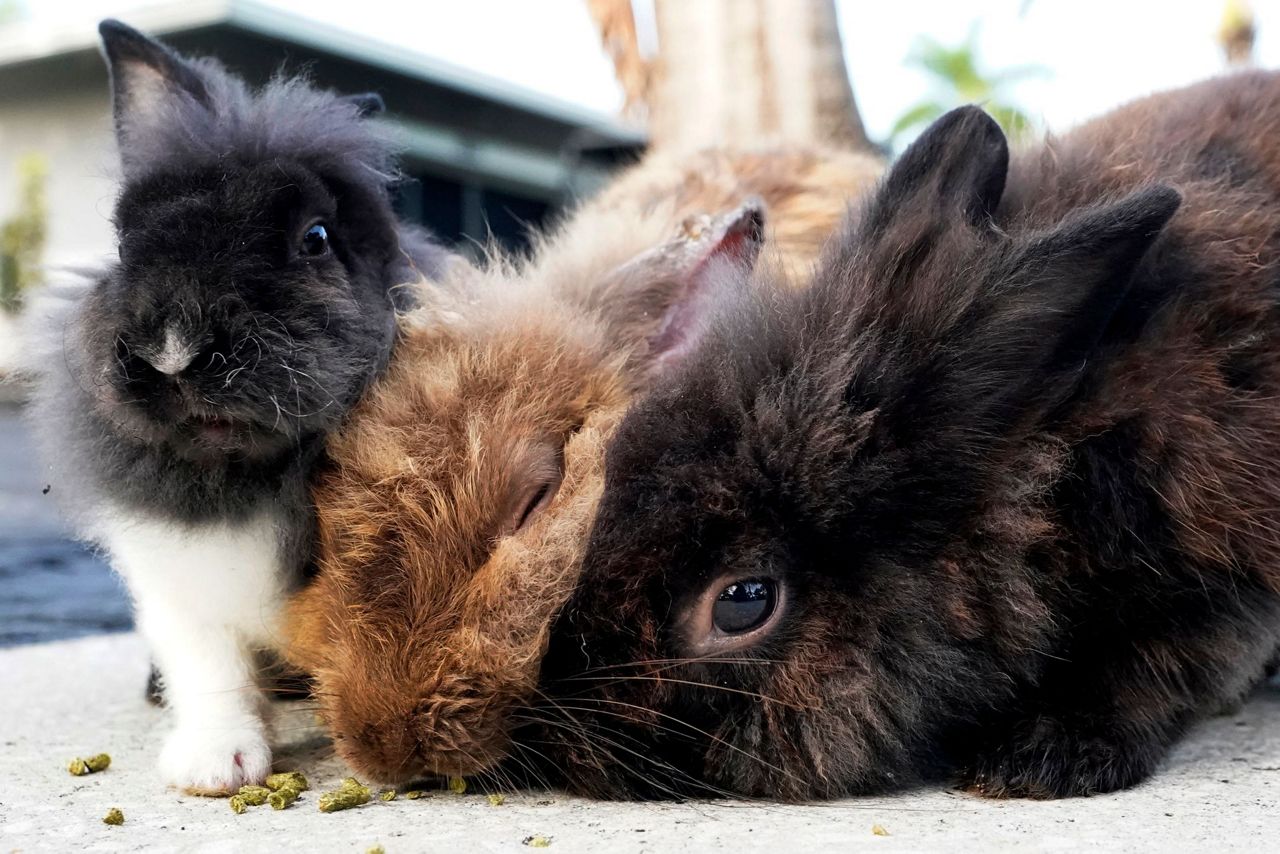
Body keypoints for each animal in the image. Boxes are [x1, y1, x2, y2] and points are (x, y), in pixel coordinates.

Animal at [22, 20, 448, 794]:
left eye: (316, 239)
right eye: (124, 245)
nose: (173, 352)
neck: (251, 474)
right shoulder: (179, 589)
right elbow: (210, 670)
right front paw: (216, 765)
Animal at [524, 72, 1280, 802]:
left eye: (743, 602)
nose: (557, 731)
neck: (1053, 475)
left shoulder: (1221, 584)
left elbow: (1158, 668)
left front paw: (1039, 761)